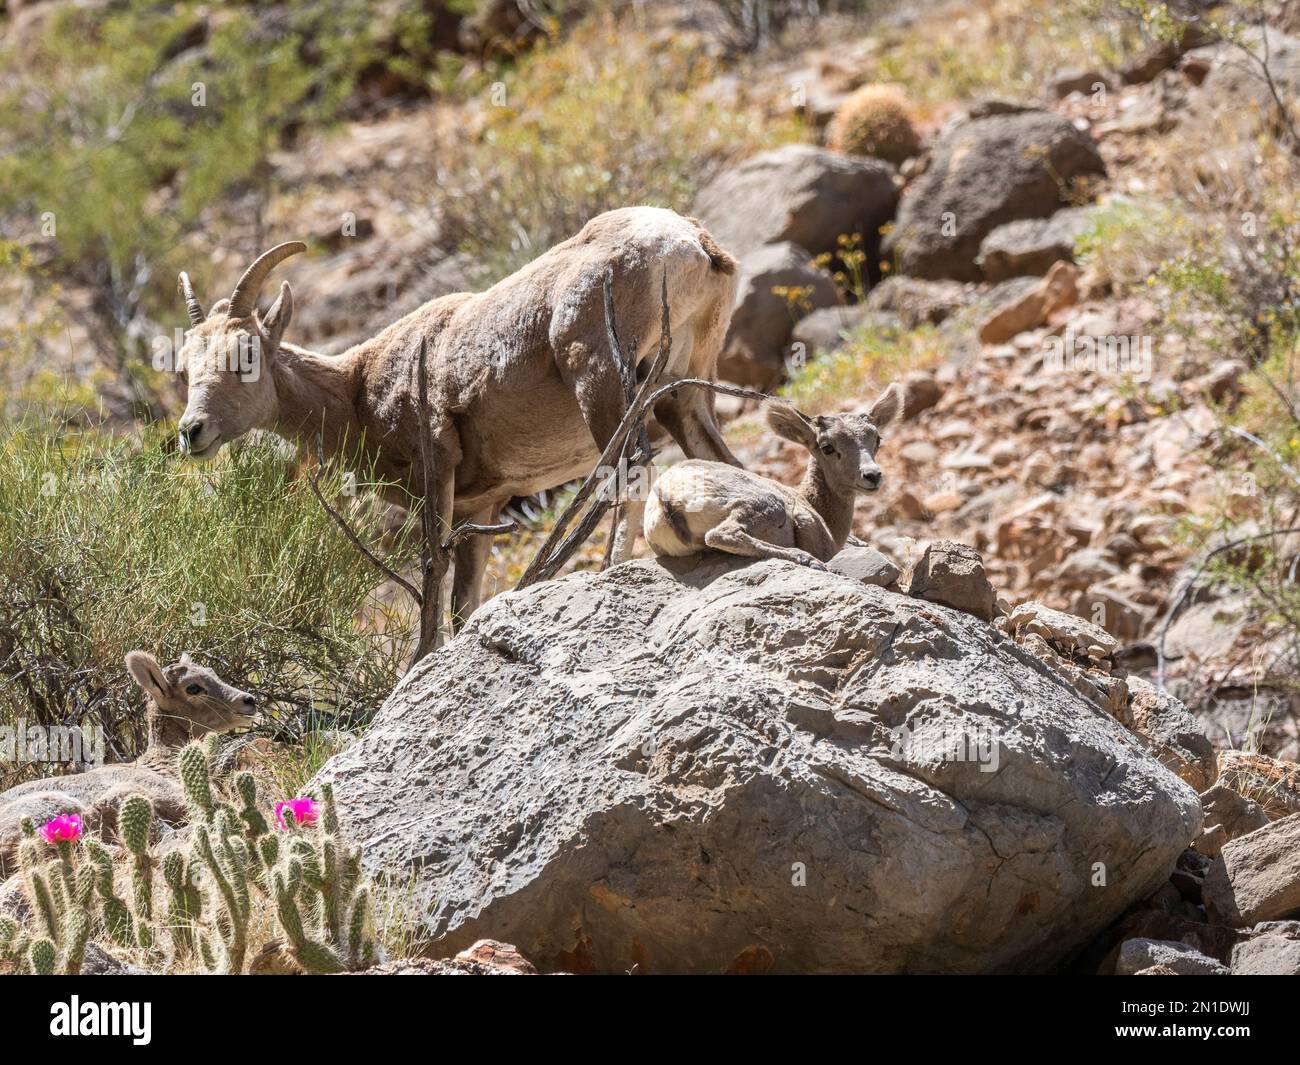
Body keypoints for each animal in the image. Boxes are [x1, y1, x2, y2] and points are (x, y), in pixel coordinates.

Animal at [174, 207, 742, 627]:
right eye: (184, 368)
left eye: (244, 357)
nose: (191, 432)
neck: (357, 392)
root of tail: (692, 243)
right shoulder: (481, 508)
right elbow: (463, 603)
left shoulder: (438, 474)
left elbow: (434, 580)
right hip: (683, 394)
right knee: (719, 461)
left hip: (600, 383)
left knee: (631, 474)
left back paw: (606, 572)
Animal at [644, 384, 902, 570]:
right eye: (827, 447)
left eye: (877, 439)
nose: (872, 475)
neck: (815, 506)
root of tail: (665, 497)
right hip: (765, 505)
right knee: (722, 534)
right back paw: (806, 559)